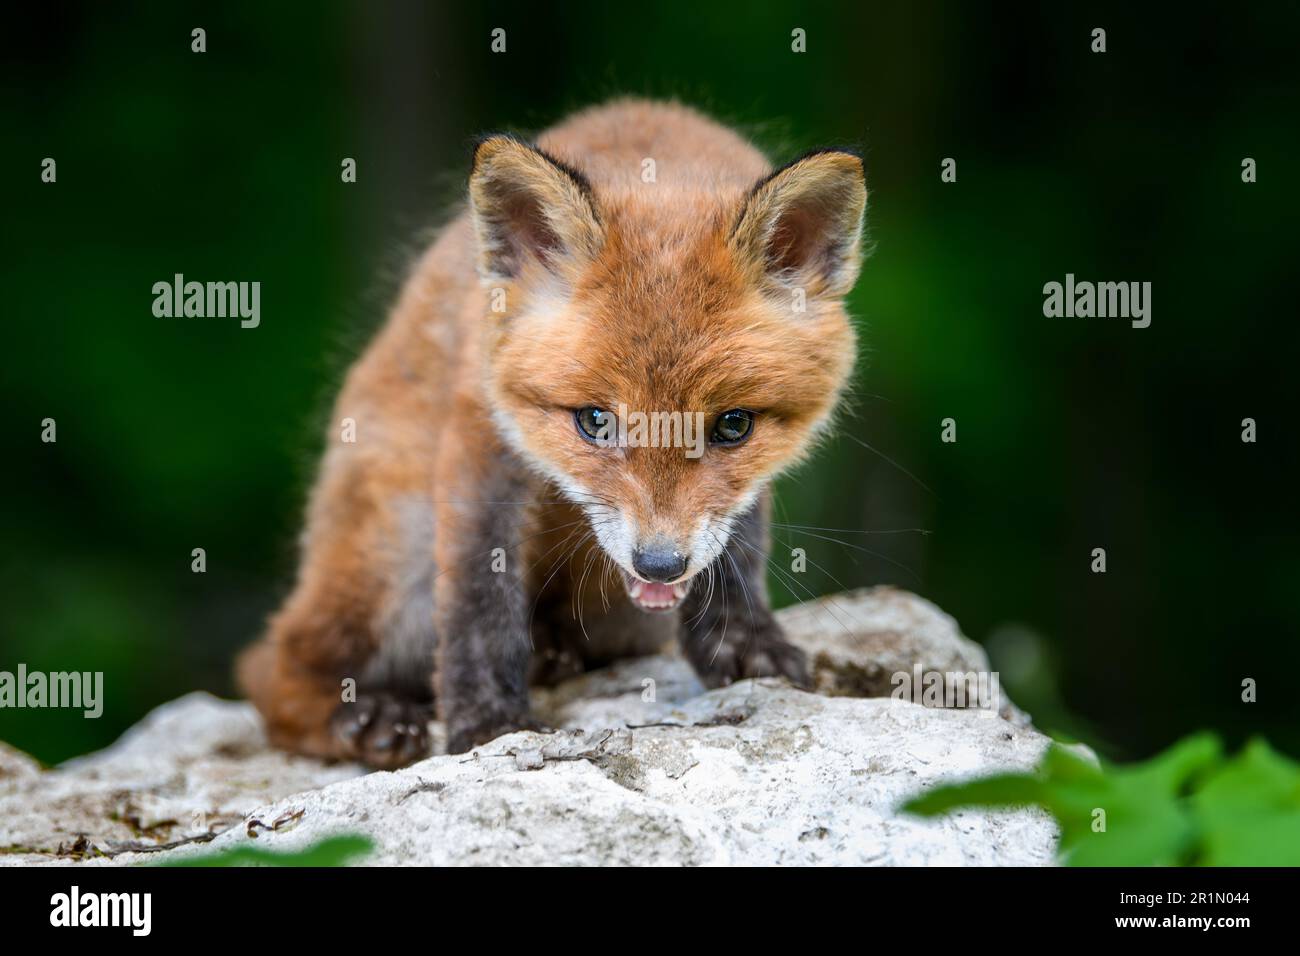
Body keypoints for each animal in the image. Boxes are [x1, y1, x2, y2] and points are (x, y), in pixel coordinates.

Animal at [238, 99, 867, 767]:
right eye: (594, 421)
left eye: (733, 425)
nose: (660, 565)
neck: (659, 164)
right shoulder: (480, 430)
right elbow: (477, 597)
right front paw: (489, 721)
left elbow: (739, 549)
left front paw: (742, 644)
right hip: (395, 557)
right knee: (268, 663)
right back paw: (355, 715)